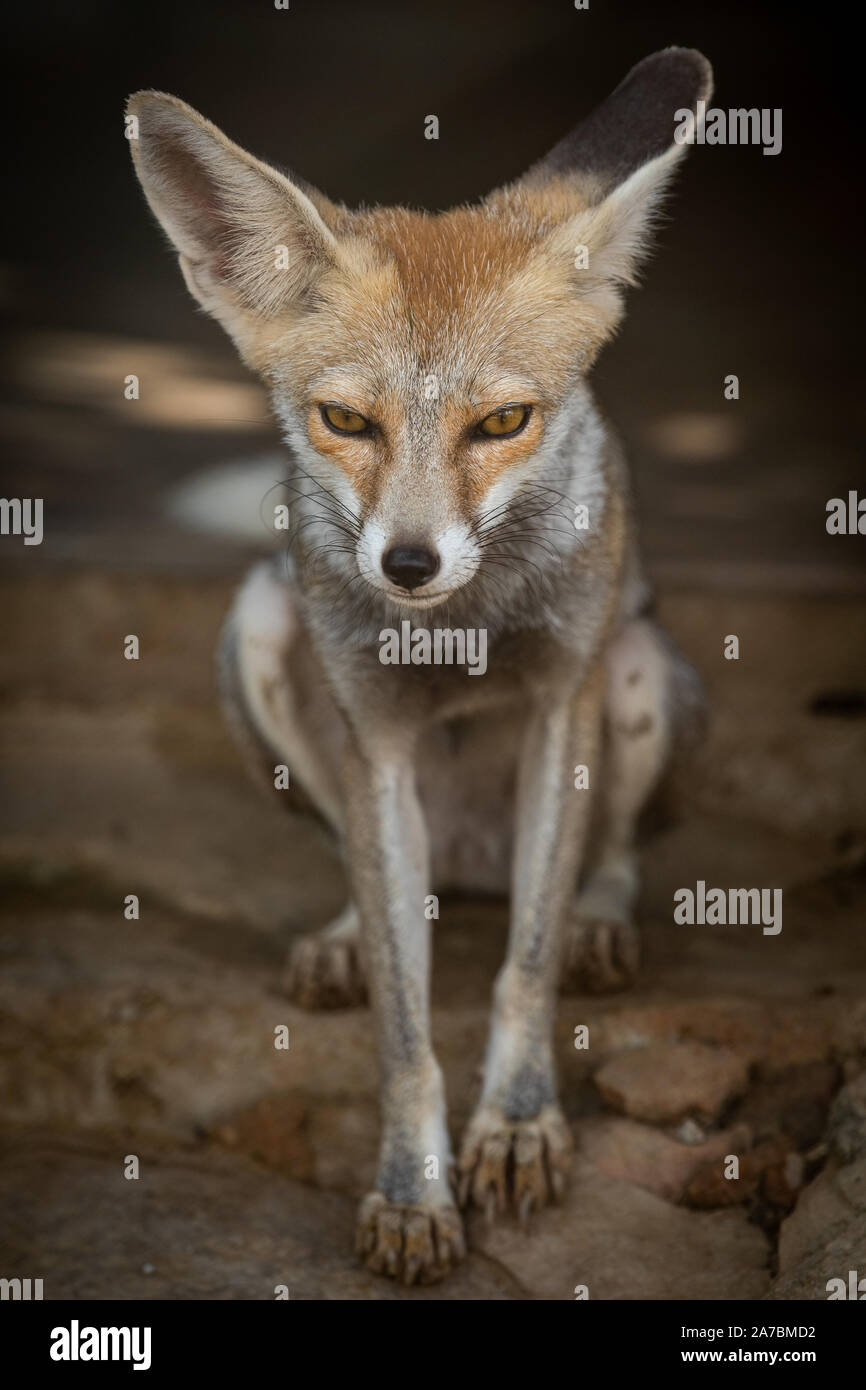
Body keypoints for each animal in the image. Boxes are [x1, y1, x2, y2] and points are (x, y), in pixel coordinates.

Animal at [128, 46, 711, 1286]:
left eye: (502, 421)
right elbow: (404, 1028)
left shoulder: (563, 701)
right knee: (374, 877)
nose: (407, 562)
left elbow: (521, 972)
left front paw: (520, 1123)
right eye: (346, 420)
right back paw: (347, 936)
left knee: (602, 861)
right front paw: (410, 1189)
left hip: (638, 666)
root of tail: (471, 867)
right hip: (258, 631)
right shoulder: (376, 745)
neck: (463, 630)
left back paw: (600, 915)